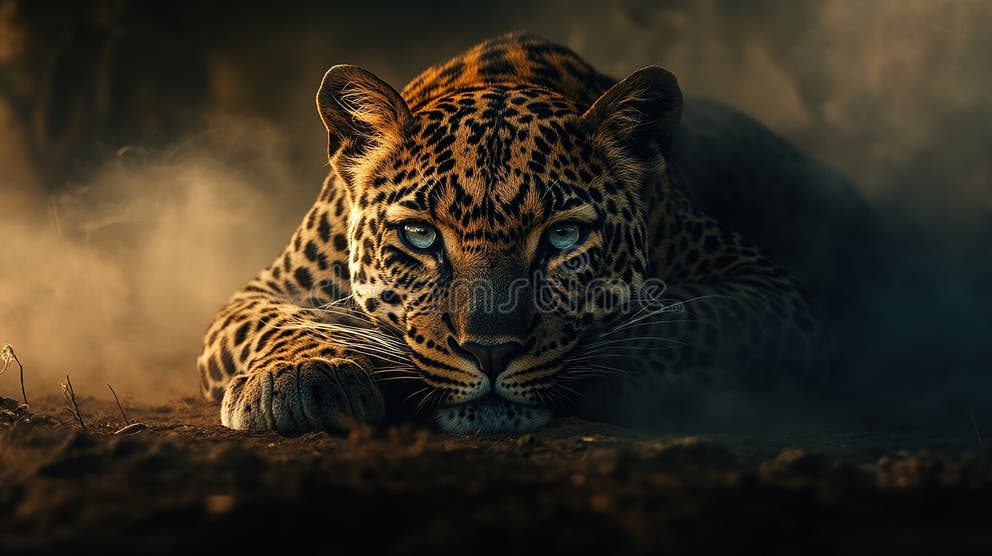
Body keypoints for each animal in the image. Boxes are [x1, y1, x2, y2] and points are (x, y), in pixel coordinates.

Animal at [196, 33, 830, 434]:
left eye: (563, 238)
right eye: (421, 236)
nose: (491, 351)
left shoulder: (769, 288)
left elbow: (688, 321)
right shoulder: (270, 286)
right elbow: (272, 321)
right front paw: (303, 378)